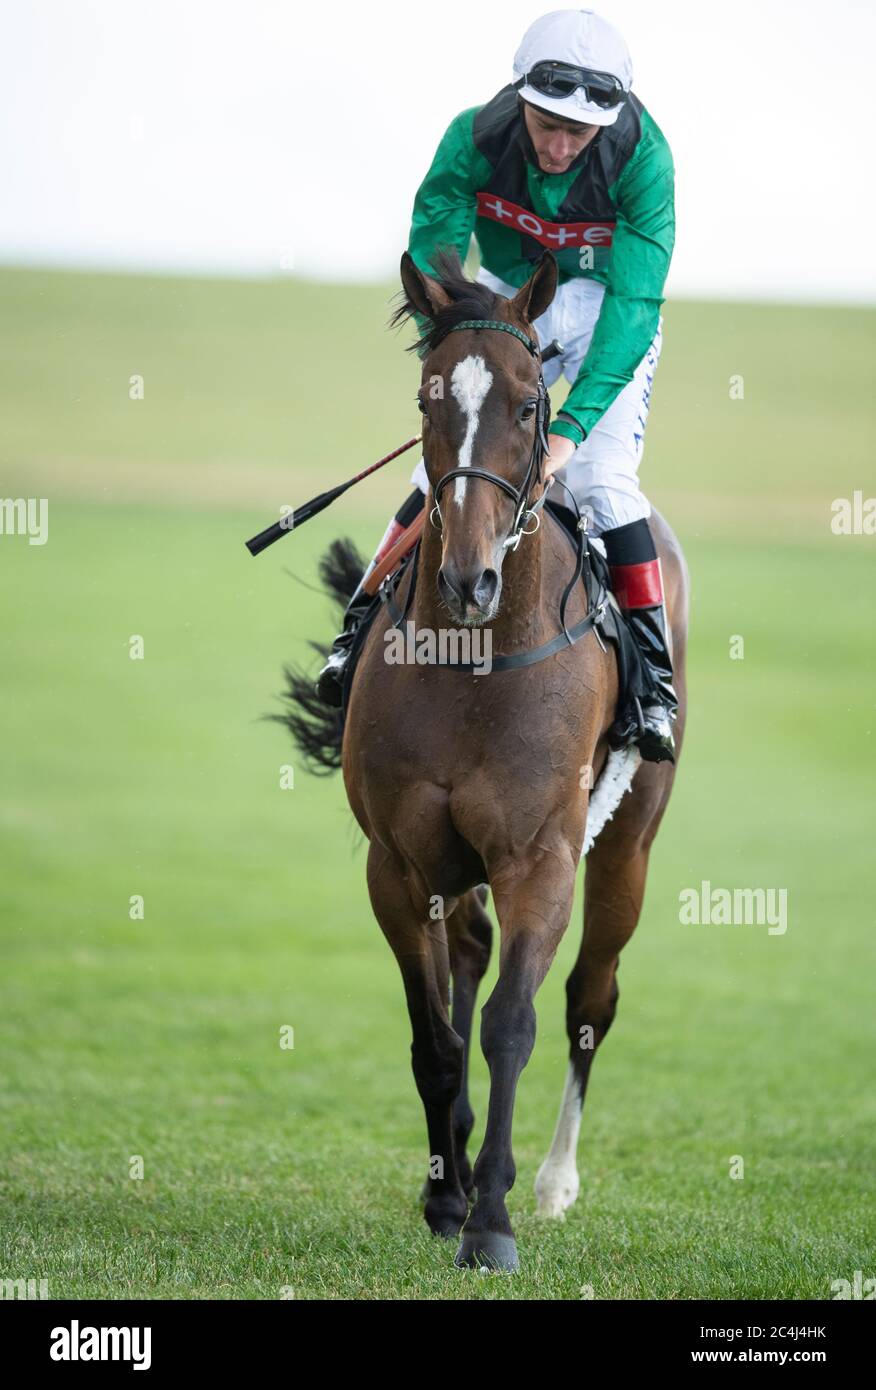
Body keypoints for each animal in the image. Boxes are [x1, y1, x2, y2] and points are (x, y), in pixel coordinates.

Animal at [280, 247, 689, 1272]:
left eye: (531, 404)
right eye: (429, 398)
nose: (470, 579)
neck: (475, 661)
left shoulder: (541, 857)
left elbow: (513, 1021)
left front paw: (493, 1222)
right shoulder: (399, 861)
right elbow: (435, 1034)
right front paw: (446, 1196)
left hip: (629, 844)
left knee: (590, 995)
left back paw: (552, 1182)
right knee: (467, 956)